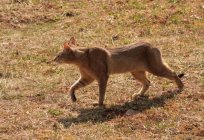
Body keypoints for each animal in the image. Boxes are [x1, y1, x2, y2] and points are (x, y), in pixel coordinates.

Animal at [53, 37, 184, 106]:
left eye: (59, 55)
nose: (53, 59)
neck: (82, 58)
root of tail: (152, 44)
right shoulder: (87, 78)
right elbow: (73, 86)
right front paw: (73, 98)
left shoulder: (102, 77)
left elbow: (101, 92)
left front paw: (99, 103)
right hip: (137, 72)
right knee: (148, 82)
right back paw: (139, 94)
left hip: (156, 68)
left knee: (173, 73)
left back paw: (181, 86)